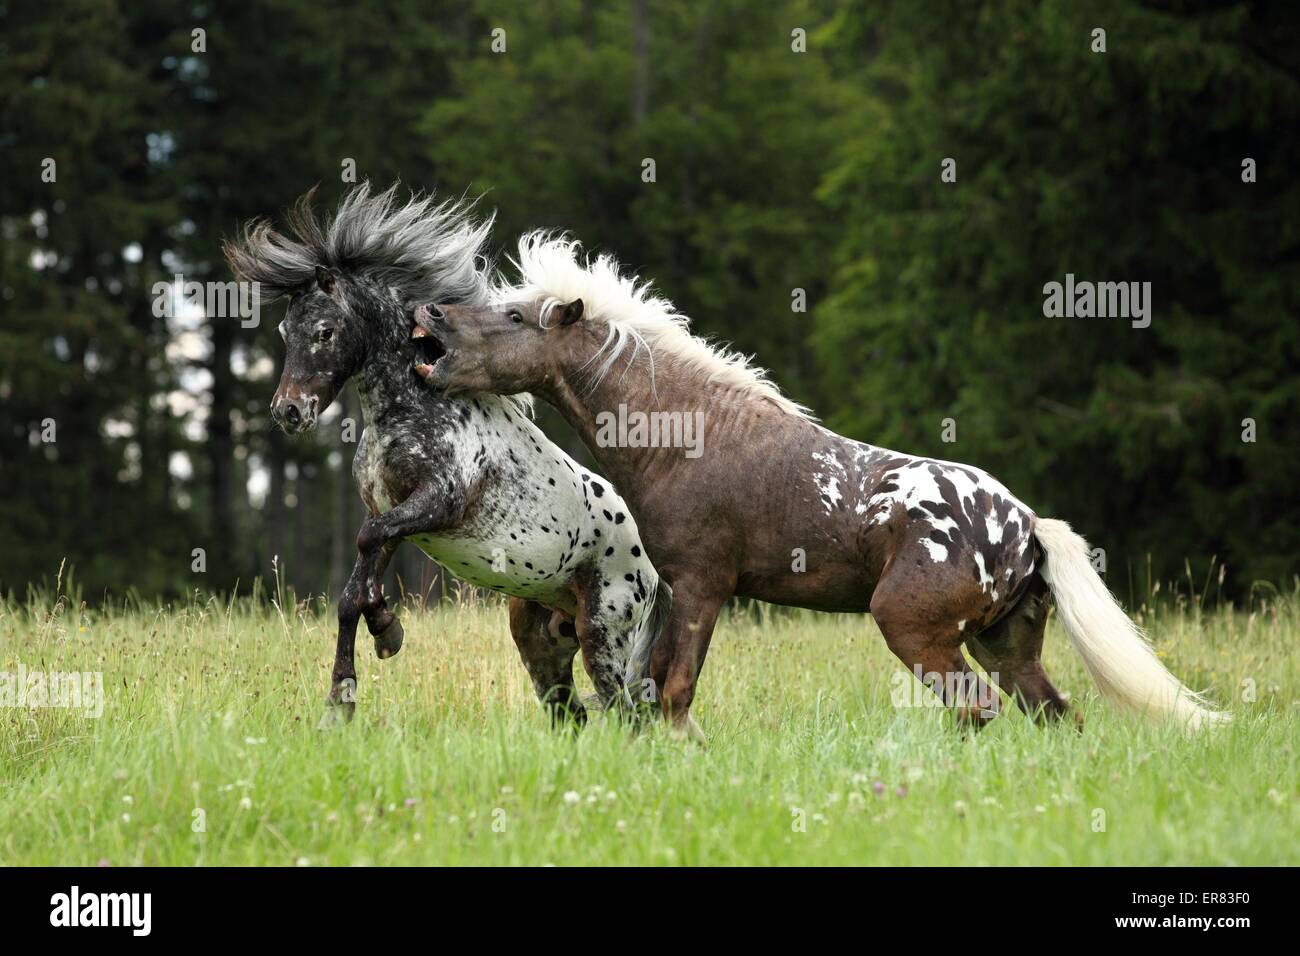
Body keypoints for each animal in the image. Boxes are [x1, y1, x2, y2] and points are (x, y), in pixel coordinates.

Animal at [223, 189, 671, 725]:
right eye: (285, 330)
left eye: (326, 331)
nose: (288, 411)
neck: (414, 411)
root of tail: (652, 568)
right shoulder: (388, 512)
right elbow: (353, 591)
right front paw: (345, 692)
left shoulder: (438, 502)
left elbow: (367, 546)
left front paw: (385, 632)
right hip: (541, 639)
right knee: (573, 713)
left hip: (603, 636)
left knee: (627, 711)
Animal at [410, 232, 1227, 739]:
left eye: (514, 315)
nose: (429, 316)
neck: (687, 439)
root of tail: (1026, 525)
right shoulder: (684, 591)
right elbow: (659, 689)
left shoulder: (702, 584)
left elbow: (674, 691)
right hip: (1005, 644)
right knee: (1052, 715)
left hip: (915, 630)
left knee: (977, 711)